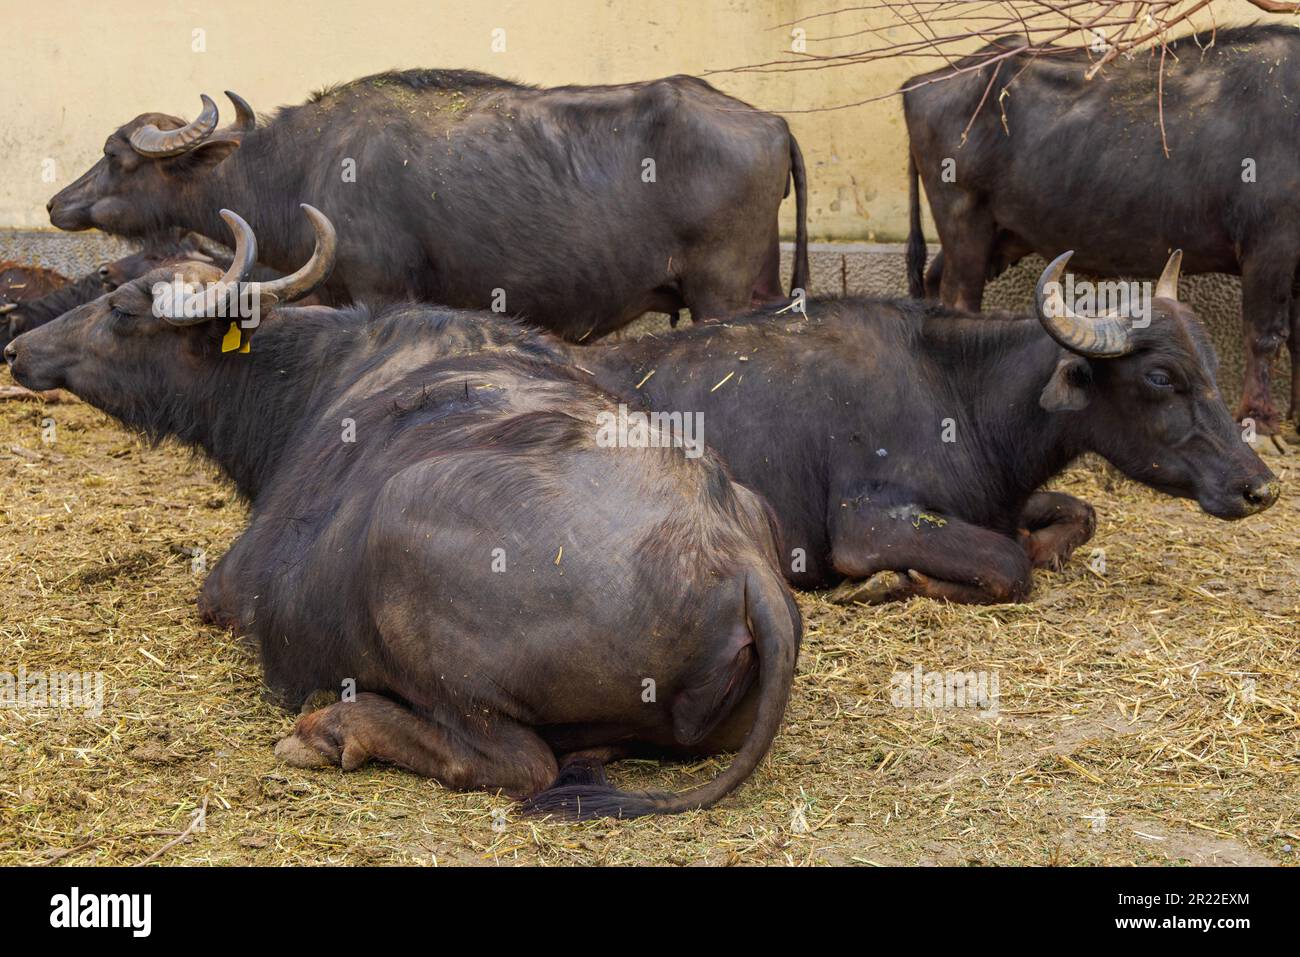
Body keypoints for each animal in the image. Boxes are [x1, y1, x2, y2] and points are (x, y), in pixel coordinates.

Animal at [4, 206, 801, 819]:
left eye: (119, 306)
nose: (19, 349)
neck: (315, 378)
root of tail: (737, 558)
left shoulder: (231, 587)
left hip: (399, 541)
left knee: (519, 761)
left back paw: (332, 729)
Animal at [46, 73, 809, 340]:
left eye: (116, 154)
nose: (57, 203)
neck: (302, 164)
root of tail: (772, 121)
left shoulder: (383, 291)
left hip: (723, 294)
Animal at [584, 251, 1279, 605]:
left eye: (1212, 365)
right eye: (1161, 376)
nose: (1261, 488)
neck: (956, 392)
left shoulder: (996, 499)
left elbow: (1079, 513)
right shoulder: (868, 523)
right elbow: (1007, 563)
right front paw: (894, 581)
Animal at [903, 25, 1300, 453]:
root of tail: (919, 84)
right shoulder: (1269, 246)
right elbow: (1264, 335)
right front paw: (1260, 423)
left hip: (996, 235)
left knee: (933, 282)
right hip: (963, 219)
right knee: (960, 298)